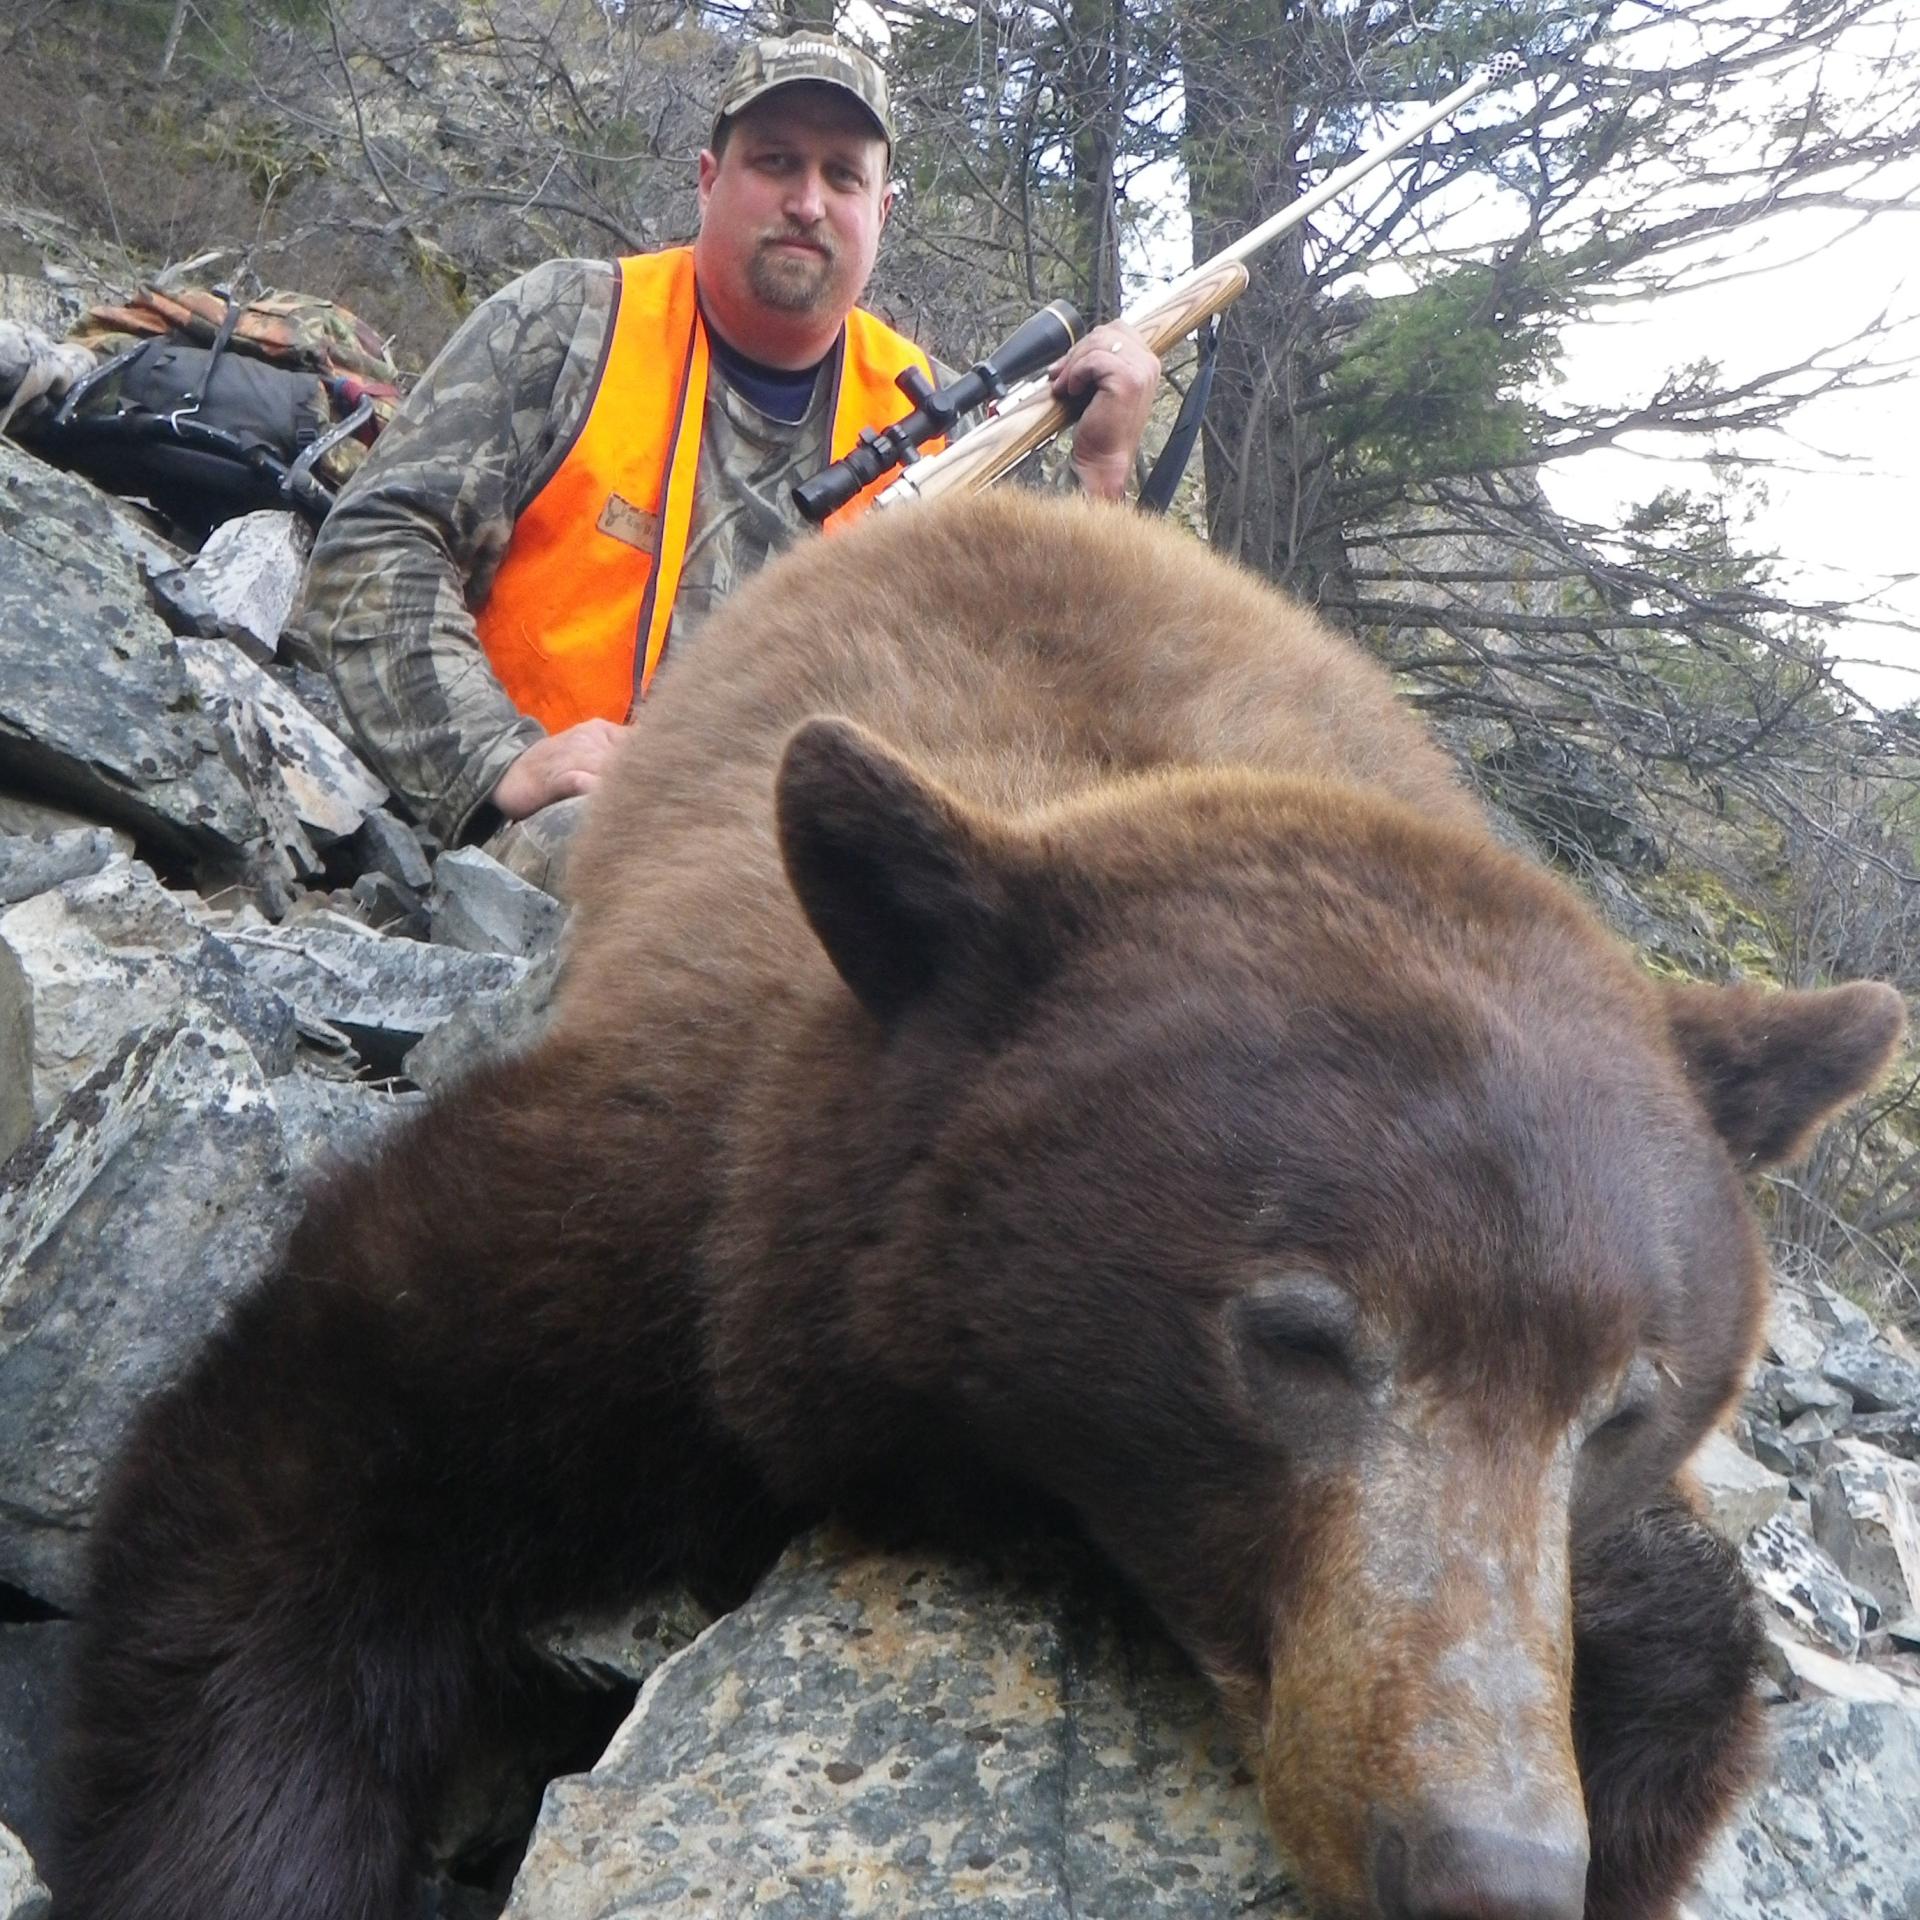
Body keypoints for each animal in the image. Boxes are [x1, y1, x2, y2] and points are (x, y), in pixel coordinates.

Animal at [51, 489, 1904, 1920]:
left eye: (1627, 1405)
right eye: (1299, 1339)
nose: (1486, 1867)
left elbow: (1694, 1649)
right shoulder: (667, 1219)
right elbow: (284, 1503)